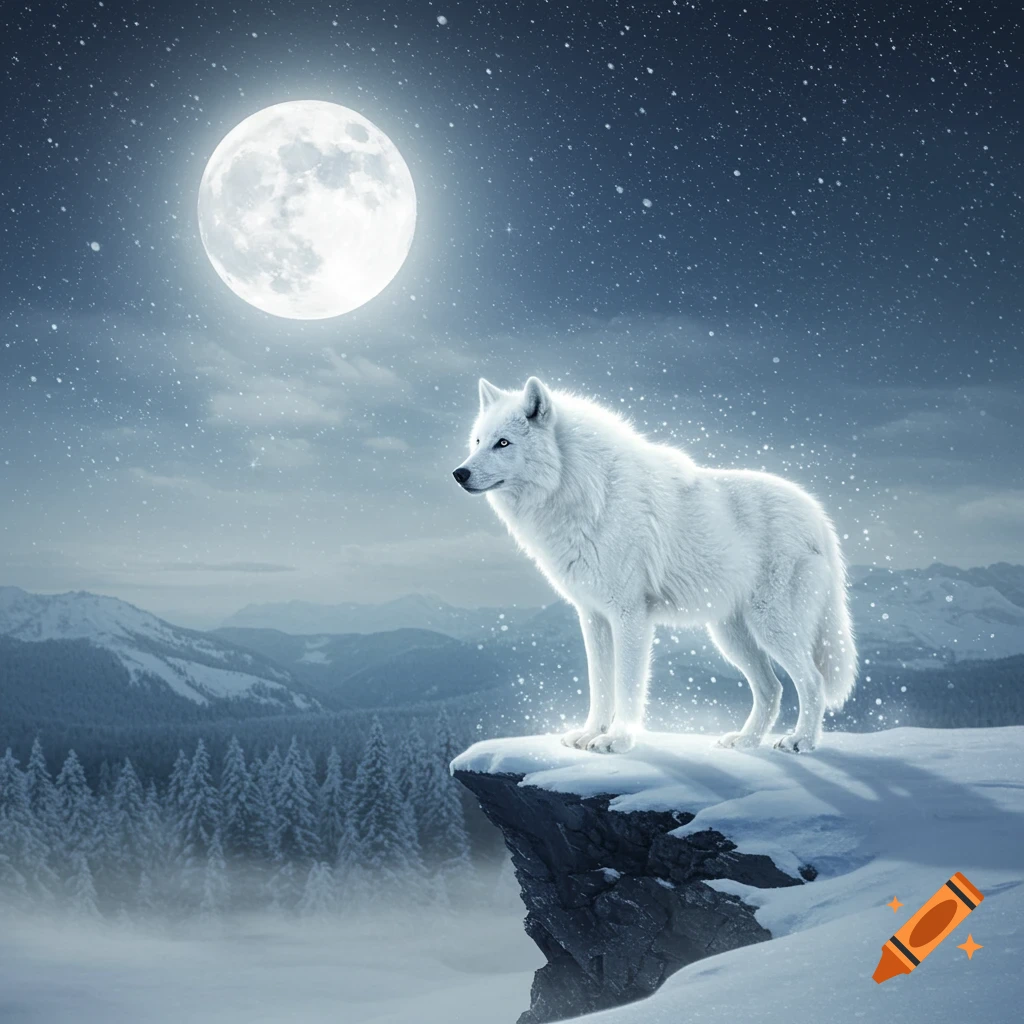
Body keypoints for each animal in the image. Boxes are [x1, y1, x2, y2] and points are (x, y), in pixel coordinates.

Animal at [452, 377, 857, 754]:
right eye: (478, 441)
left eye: (503, 443)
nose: (459, 474)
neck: (587, 491)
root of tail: (818, 515)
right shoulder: (593, 616)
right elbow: (600, 684)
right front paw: (589, 733)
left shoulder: (630, 614)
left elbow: (627, 684)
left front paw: (617, 740)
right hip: (731, 635)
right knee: (771, 688)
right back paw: (745, 740)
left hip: (772, 627)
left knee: (813, 682)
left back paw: (801, 741)